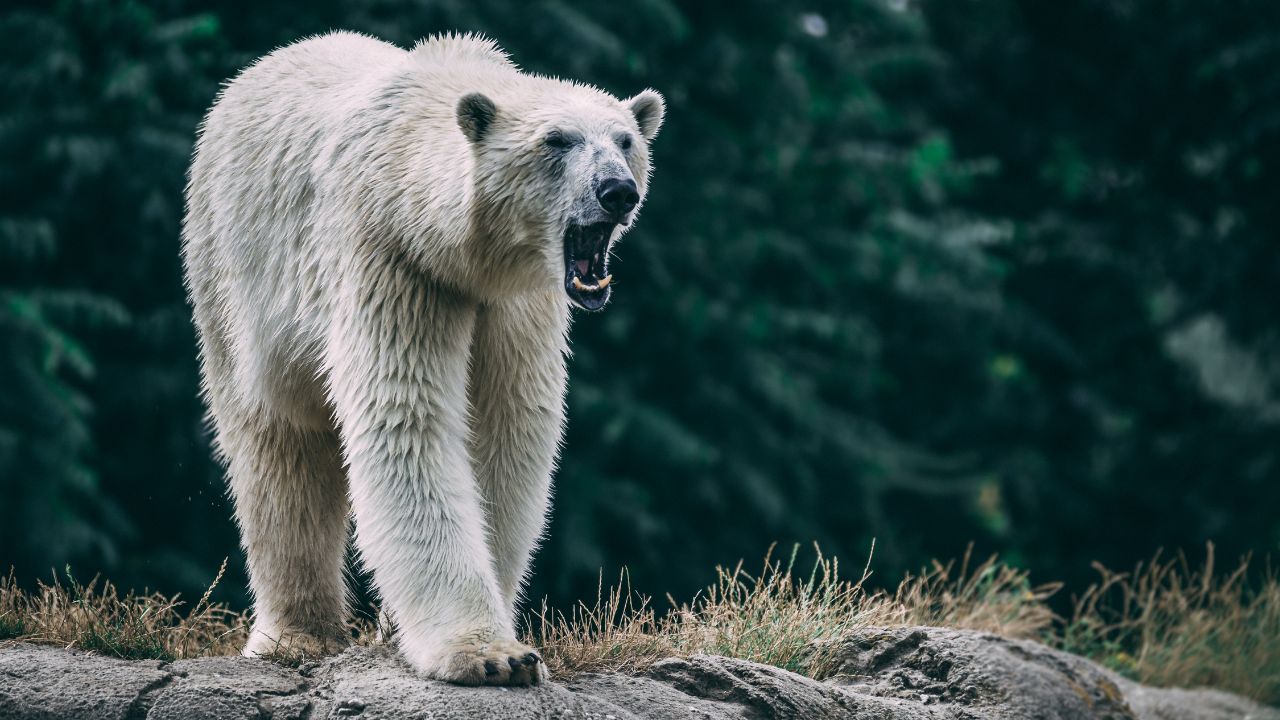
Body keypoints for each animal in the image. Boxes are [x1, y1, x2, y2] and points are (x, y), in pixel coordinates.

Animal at [181, 31, 663, 686]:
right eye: (556, 140)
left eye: (625, 141)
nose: (617, 191)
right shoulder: (392, 260)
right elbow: (406, 423)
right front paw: (491, 656)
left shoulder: (515, 303)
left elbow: (508, 434)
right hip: (234, 274)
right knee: (278, 446)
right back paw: (298, 635)